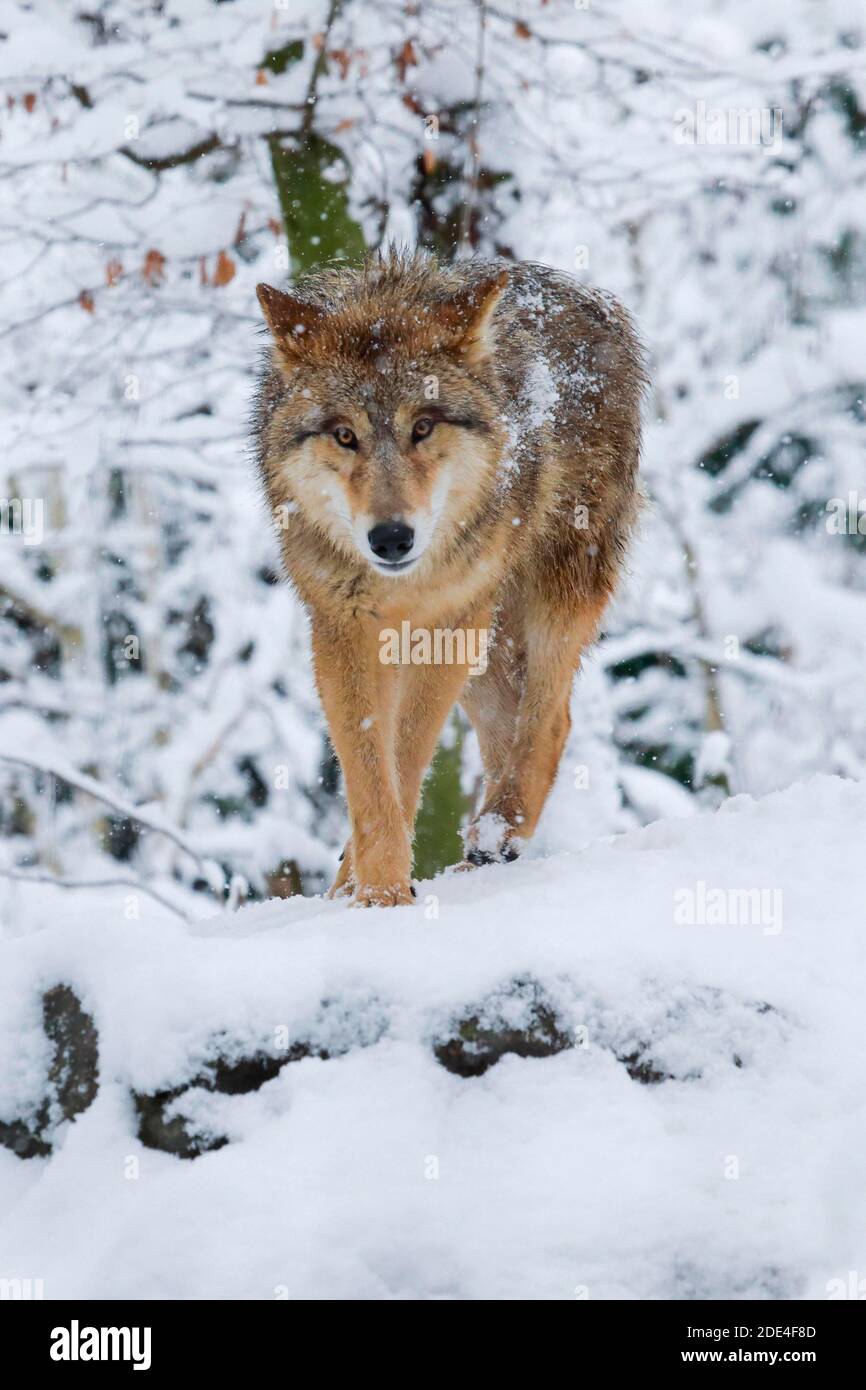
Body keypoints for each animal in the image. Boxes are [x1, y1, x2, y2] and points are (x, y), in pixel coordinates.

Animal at [253, 251, 645, 906]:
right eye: (344, 435)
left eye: (423, 426)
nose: (391, 538)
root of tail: (596, 298)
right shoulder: (342, 631)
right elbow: (370, 773)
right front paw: (366, 892)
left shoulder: (446, 626)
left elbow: (406, 760)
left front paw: (382, 897)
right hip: (487, 645)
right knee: (510, 724)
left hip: (550, 592)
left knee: (550, 718)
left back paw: (497, 834)